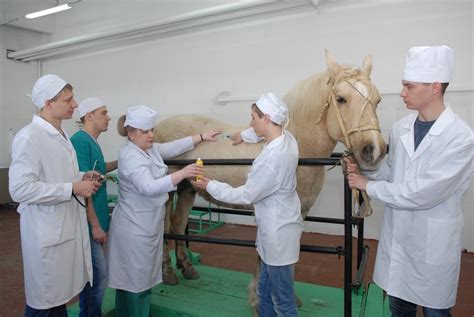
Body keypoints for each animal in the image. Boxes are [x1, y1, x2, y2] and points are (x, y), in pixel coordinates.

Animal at [154, 50, 386, 312]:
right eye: (341, 99)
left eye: (377, 100)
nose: (374, 150)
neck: (296, 150)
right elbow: (263, 254)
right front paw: (257, 299)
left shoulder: (300, 213)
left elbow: (289, 254)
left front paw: (289, 296)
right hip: (167, 192)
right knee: (164, 227)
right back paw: (168, 272)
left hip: (186, 189)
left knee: (178, 223)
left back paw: (188, 268)